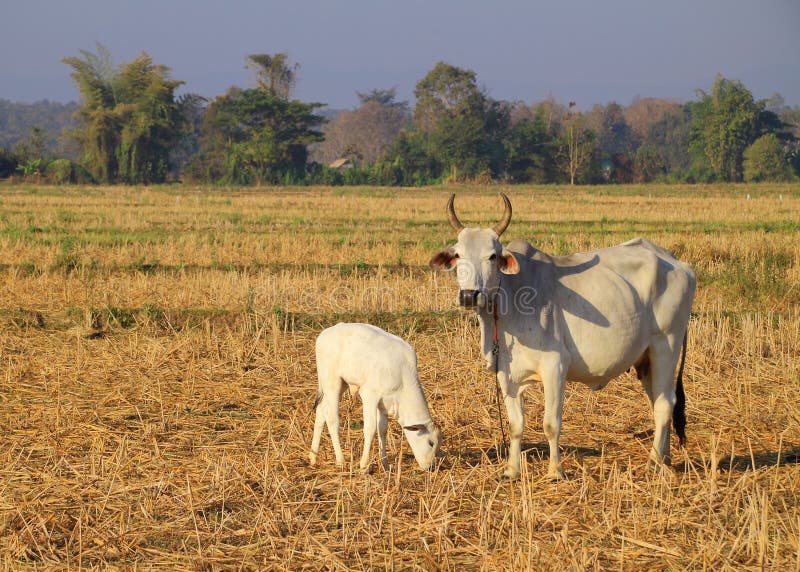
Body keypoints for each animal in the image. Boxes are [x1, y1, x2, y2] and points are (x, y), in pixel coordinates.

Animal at [429, 194, 695, 480]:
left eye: (492, 256)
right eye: (458, 254)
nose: (469, 295)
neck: (510, 300)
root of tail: (678, 262)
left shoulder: (555, 367)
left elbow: (551, 424)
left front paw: (556, 470)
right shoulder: (505, 374)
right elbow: (515, 425)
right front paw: (511, 469)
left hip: (666, 346)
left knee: (665, 403)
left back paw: (654, 462)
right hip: (646, 360)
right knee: (659, 401)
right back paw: (665, 458)